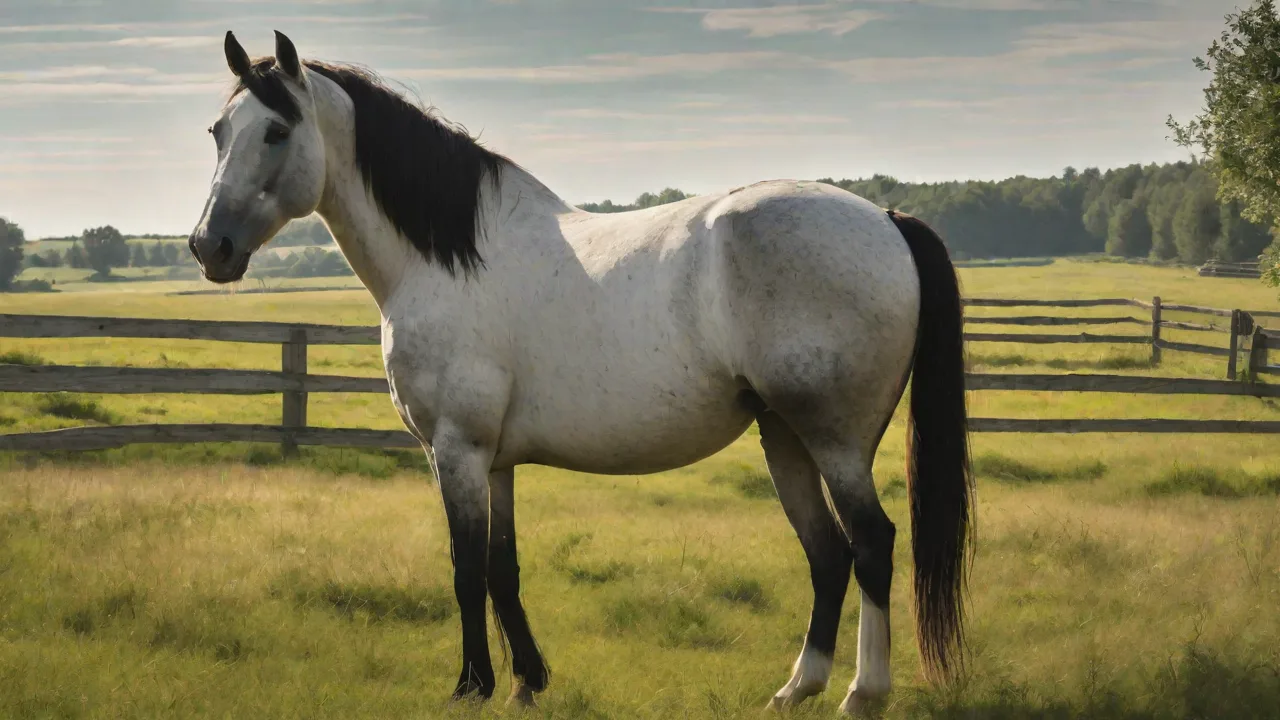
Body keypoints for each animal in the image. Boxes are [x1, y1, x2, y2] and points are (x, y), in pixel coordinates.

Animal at [188, 30, 975, 716]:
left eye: (277, 132)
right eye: (219, 133)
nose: (208, 247)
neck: (449, 259)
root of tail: (886, 217)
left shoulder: (456, 449)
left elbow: (466, 567)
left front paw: (471, 686)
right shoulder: (495, 460)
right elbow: (502, 567)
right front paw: (526, 683)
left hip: (834, 440)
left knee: (872, 545)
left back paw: (861, 694)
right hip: (784, 436)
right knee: (828, 554)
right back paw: (795, 690)